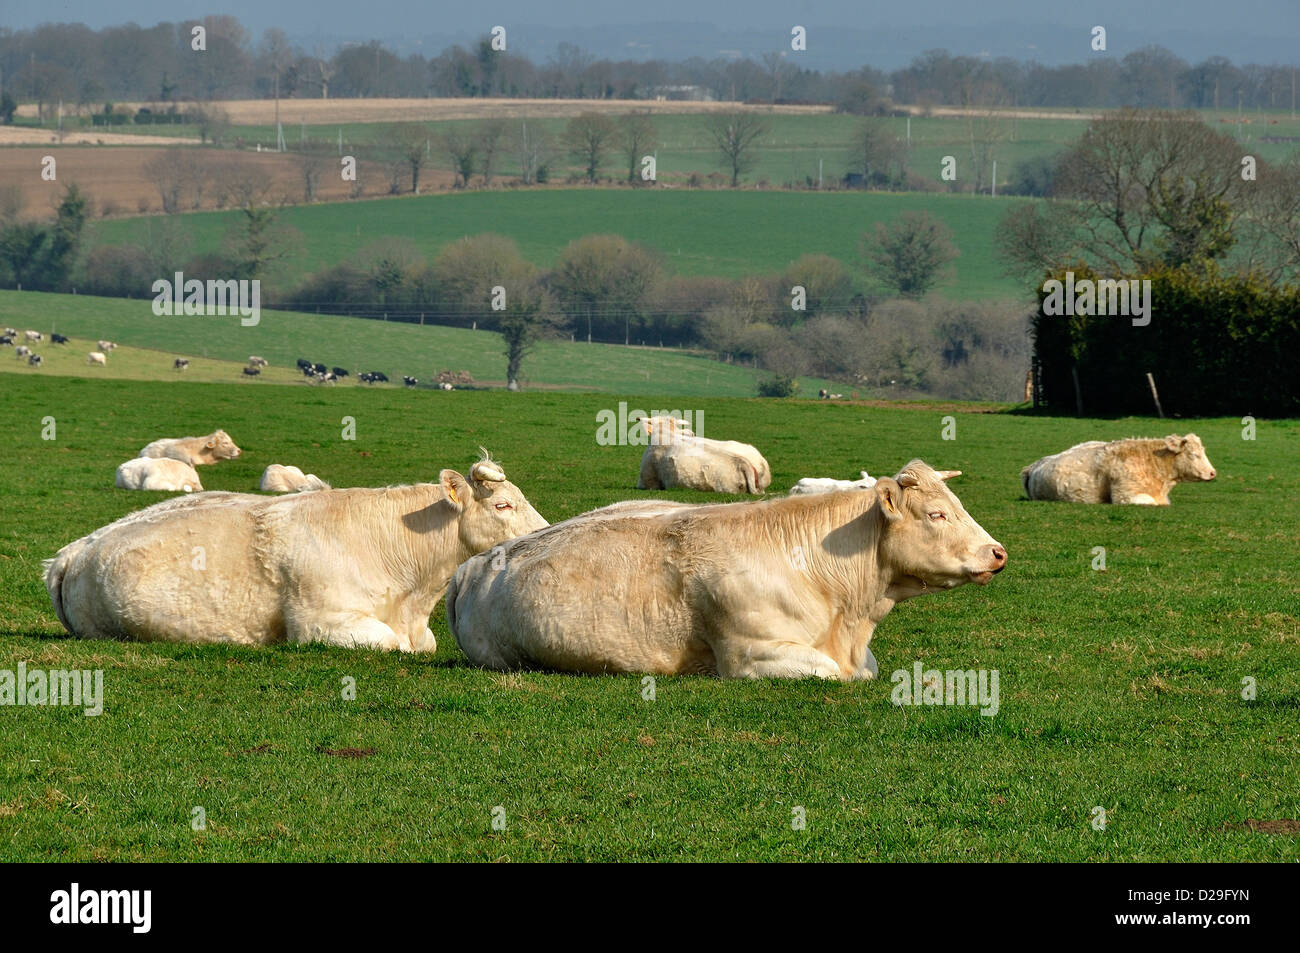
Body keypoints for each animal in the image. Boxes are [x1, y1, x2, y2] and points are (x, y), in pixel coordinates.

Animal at [44, 454, 549, 652]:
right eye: (503, 505)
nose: (546, 532)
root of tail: (76, 550)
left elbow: (421, 645)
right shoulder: (321, 623)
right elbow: (392, 644)